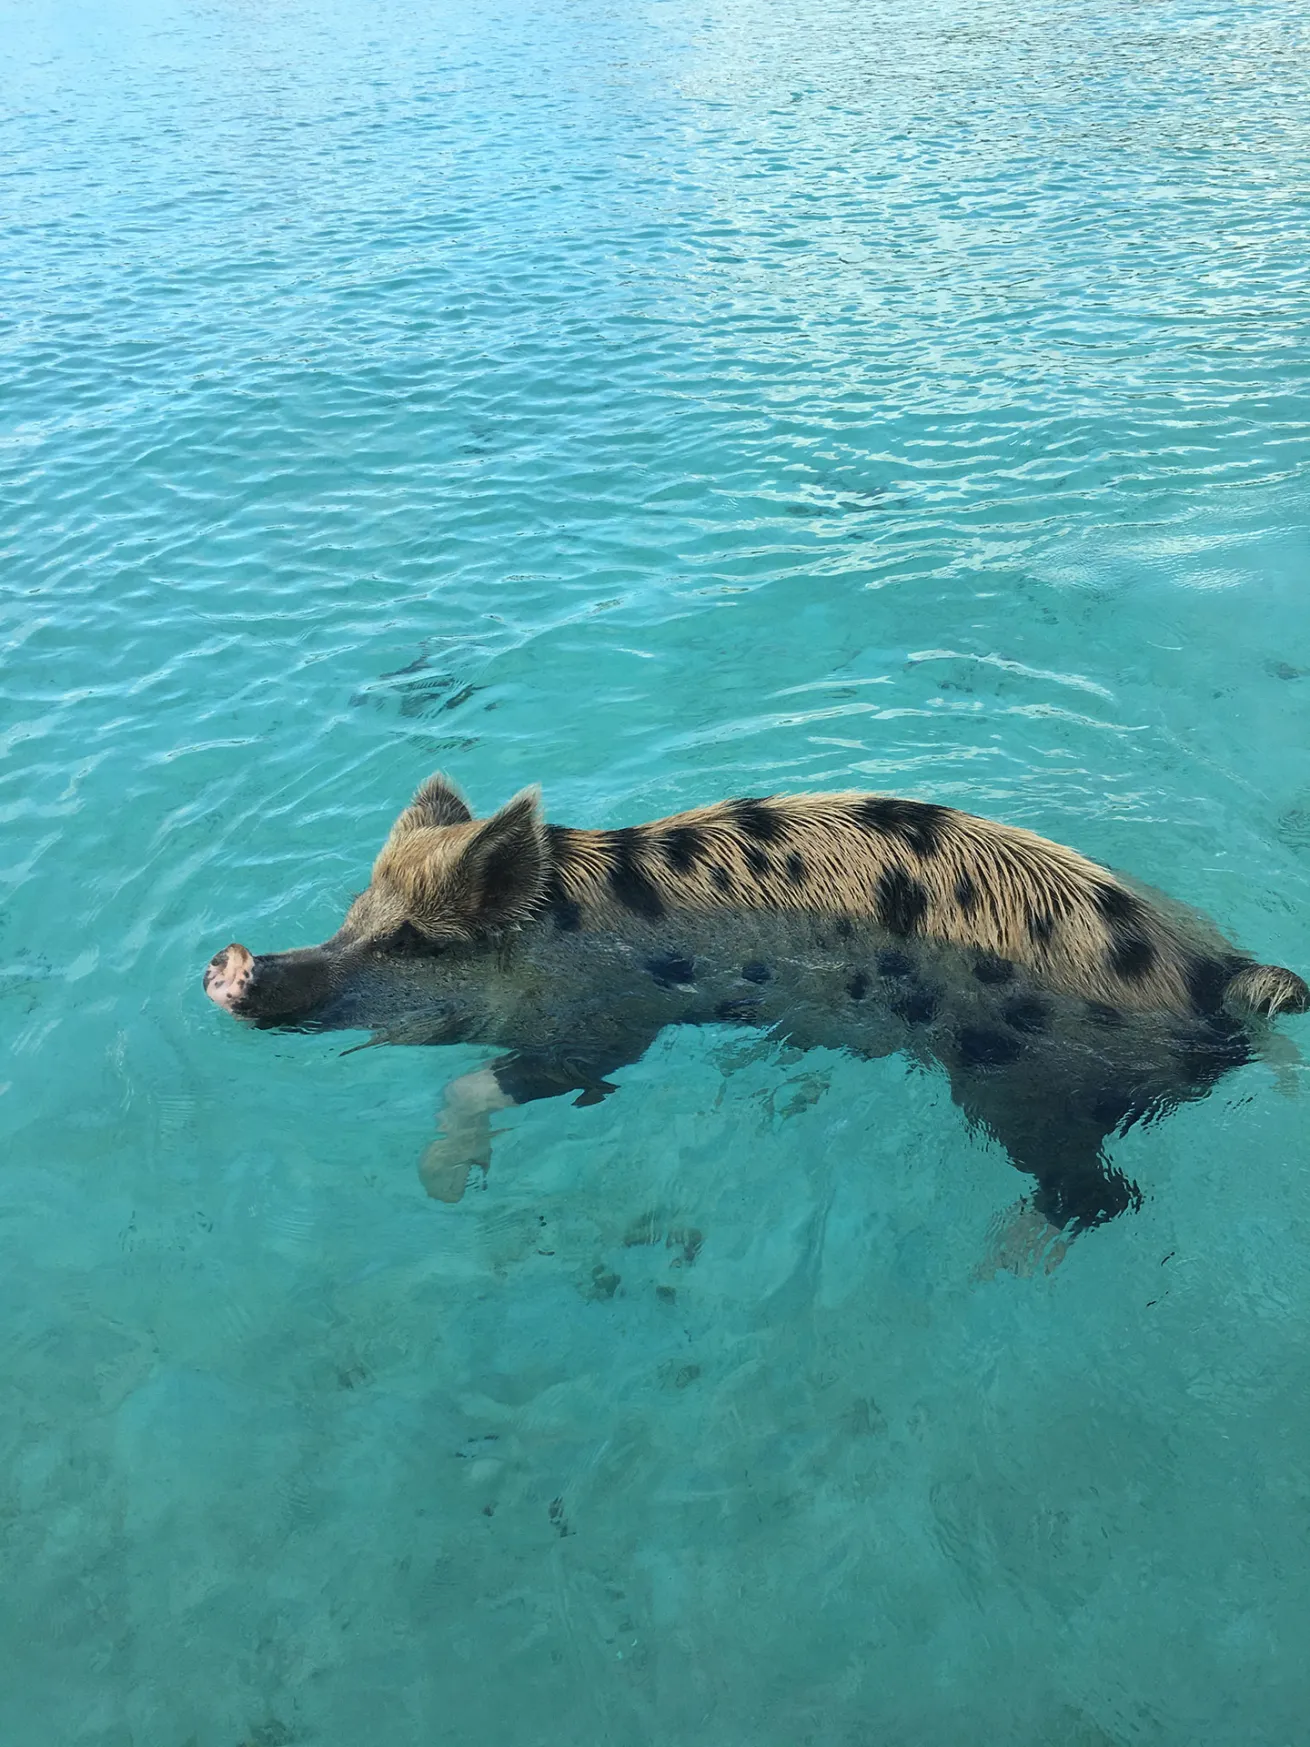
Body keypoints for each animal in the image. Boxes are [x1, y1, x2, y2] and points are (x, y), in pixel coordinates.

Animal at [204, 773, 1307, 1233]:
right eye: (353, 914)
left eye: (411, 940)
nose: (230, 963)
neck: (566, 926)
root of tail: (1223, 973)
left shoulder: (602, 1022)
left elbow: (492, 1083)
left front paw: (439, 1189)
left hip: (1017, 1085)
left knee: (1095, 1197)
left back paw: (999, 1251)